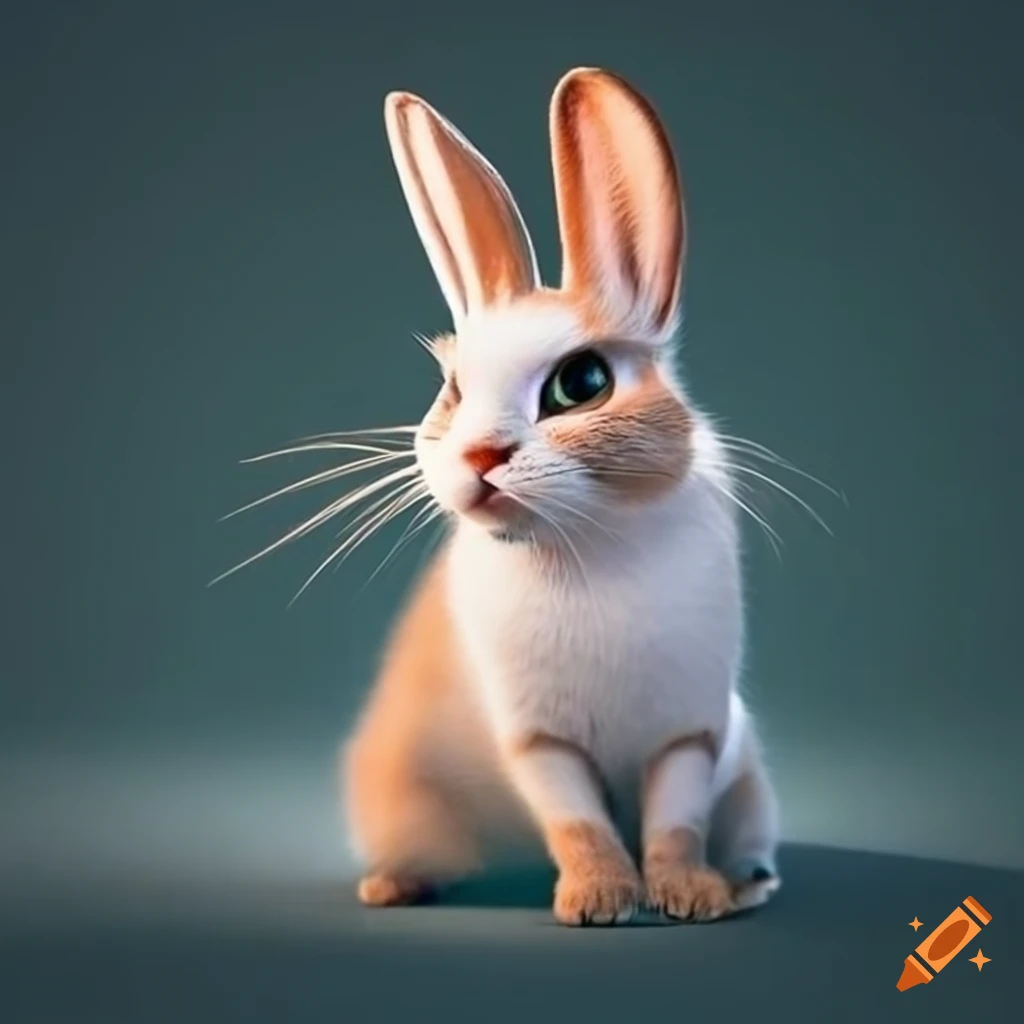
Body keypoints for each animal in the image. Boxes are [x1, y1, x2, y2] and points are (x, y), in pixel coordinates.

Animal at [341, 66, 781, 926]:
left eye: (582, 383)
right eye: (452, 388)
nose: (480, 455)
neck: (587, 545)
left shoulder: (691, 732)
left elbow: (674, 821)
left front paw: (688, 897)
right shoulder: (540, 741)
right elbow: (578, 820)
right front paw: (601, 901)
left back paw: (746, 884)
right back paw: (389, 887)